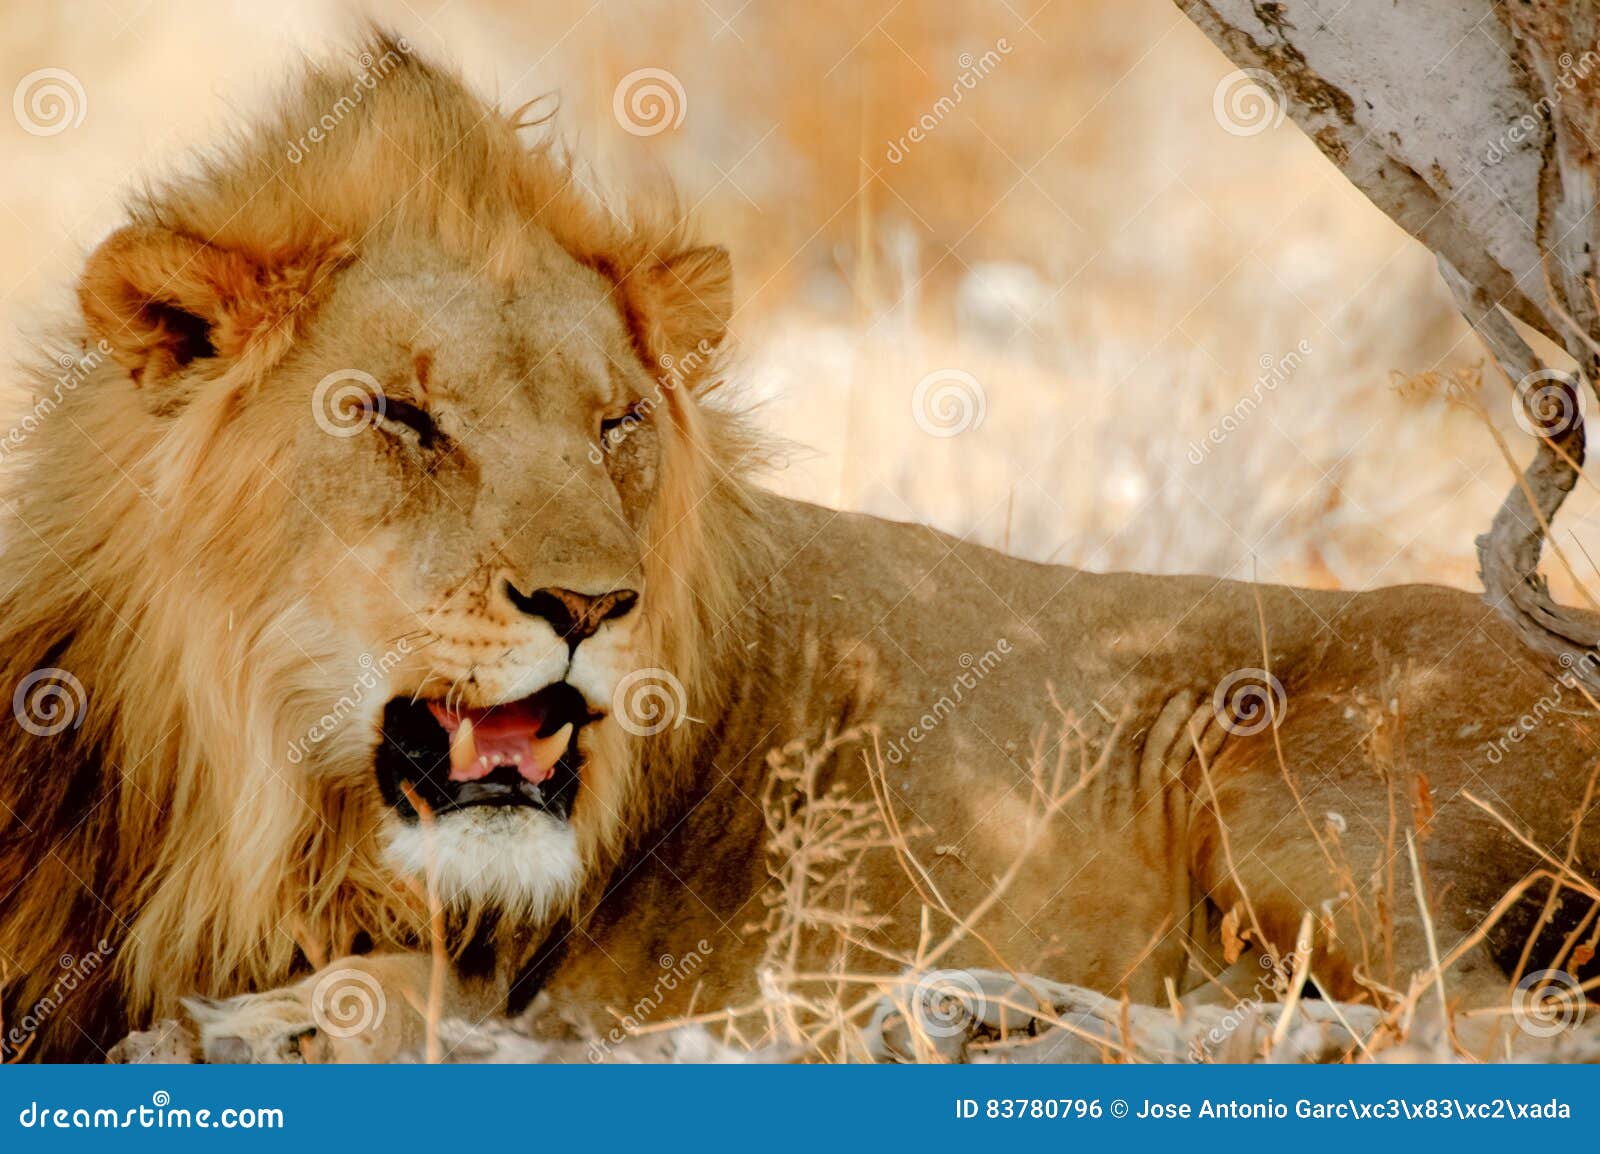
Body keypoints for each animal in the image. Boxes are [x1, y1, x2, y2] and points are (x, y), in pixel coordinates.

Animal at [1, 33, 1596, 1063]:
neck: (235, 790)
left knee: (1467, 1020)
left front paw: (261, 1024)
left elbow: (415, 993)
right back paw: (969, 1011)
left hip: (1276, 772)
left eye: (613, 422)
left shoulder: (522, 966)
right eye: (395, 414)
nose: (591, 604)